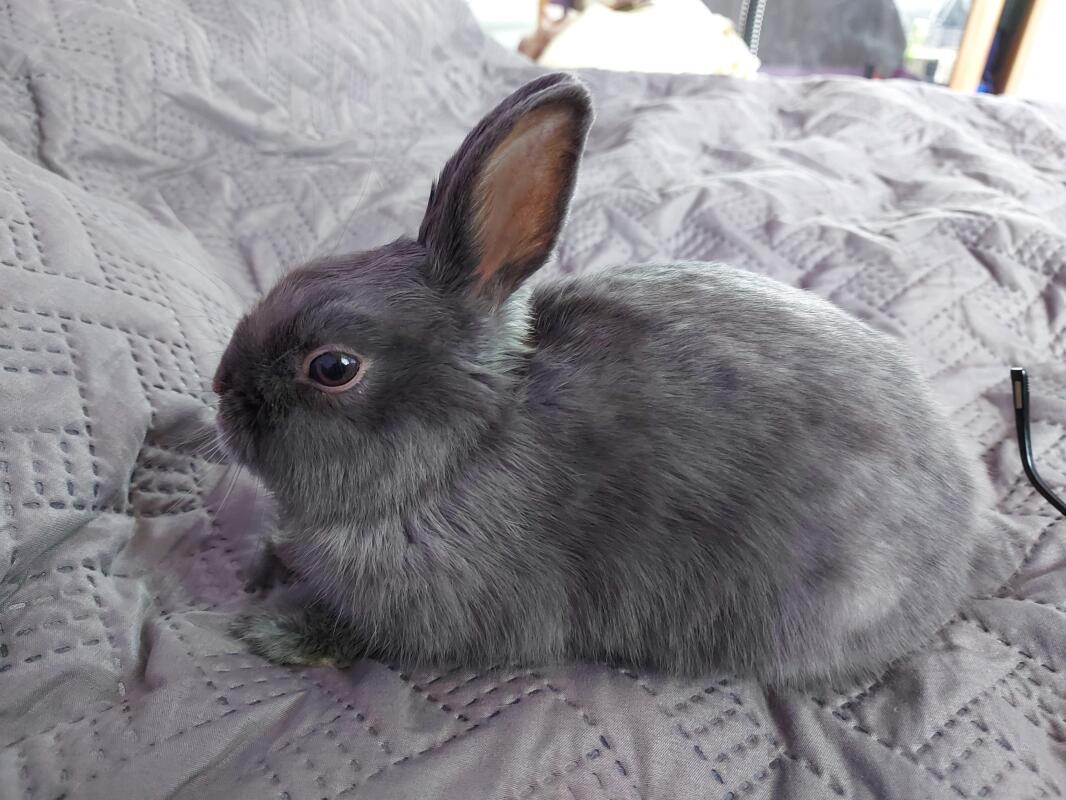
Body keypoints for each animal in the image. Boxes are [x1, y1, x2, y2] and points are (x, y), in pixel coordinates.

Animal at [215, 72, 999, 688]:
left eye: (333, 367)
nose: (222, 394)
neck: (464, 448)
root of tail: (963, 542)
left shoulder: (439, 615)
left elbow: (363, 636)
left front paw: (272, 632)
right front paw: (265, 561)